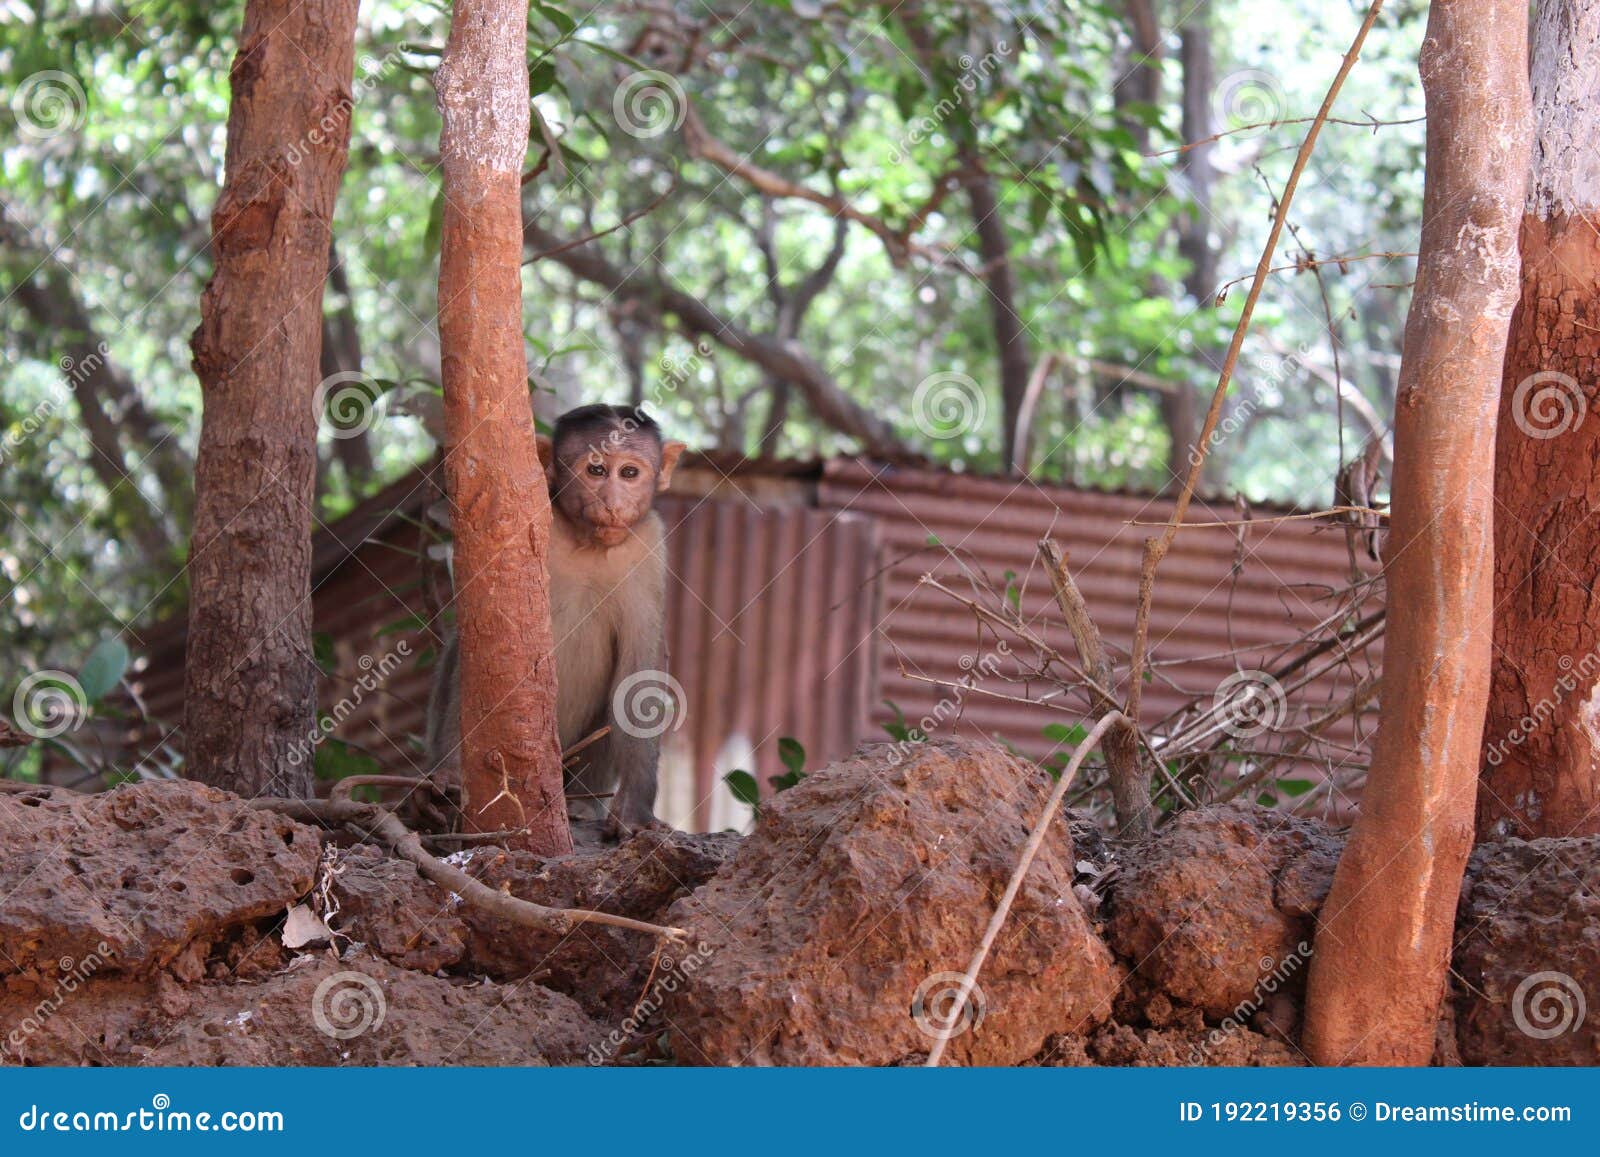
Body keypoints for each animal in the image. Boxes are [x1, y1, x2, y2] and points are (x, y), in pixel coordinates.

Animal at [425, 404, 686, 839]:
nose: (613, 503)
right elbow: (482, 645)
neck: (586, 541)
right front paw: (450, 776)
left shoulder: (648, 544)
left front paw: (633, 809)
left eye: (629, 473)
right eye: (596, 470)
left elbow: (638, 669)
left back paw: (581, 806)